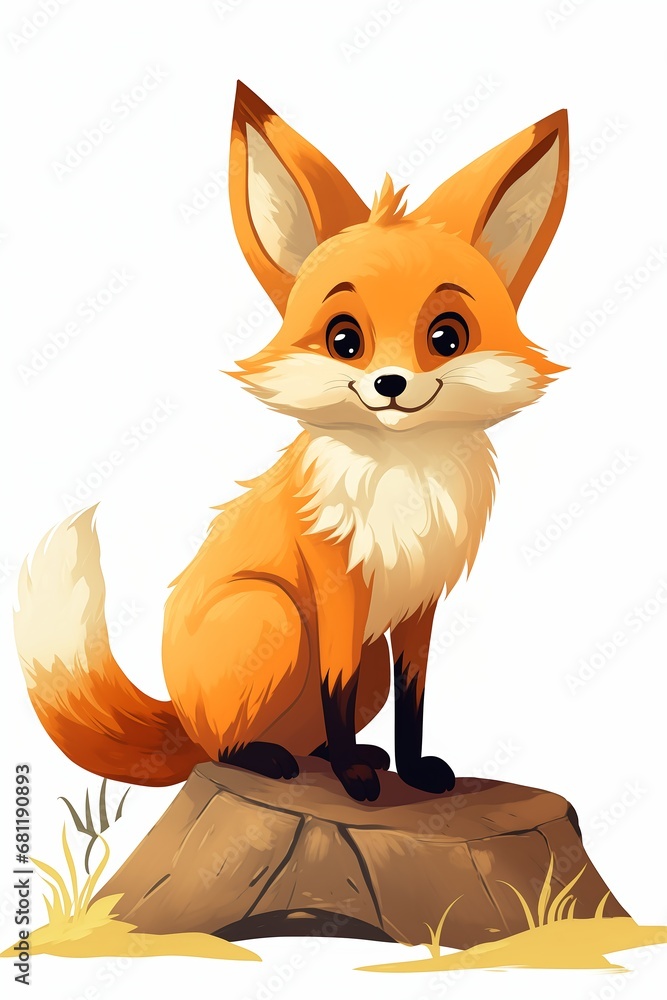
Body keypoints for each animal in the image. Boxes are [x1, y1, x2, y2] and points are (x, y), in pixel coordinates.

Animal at [15, 82, 568, 802]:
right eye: (344, 339)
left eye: (446, 336)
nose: (391, 384)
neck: (401, 480)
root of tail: (180, 716)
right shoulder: (336, 587)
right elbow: (337, 691)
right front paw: (353, 779)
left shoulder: (418, 603)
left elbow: (414, 701)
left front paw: (412, 769)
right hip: (271, 613)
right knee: (223, 746)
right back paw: (270, 757)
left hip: (360, 648)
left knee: (307, 733)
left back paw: (338, 755)